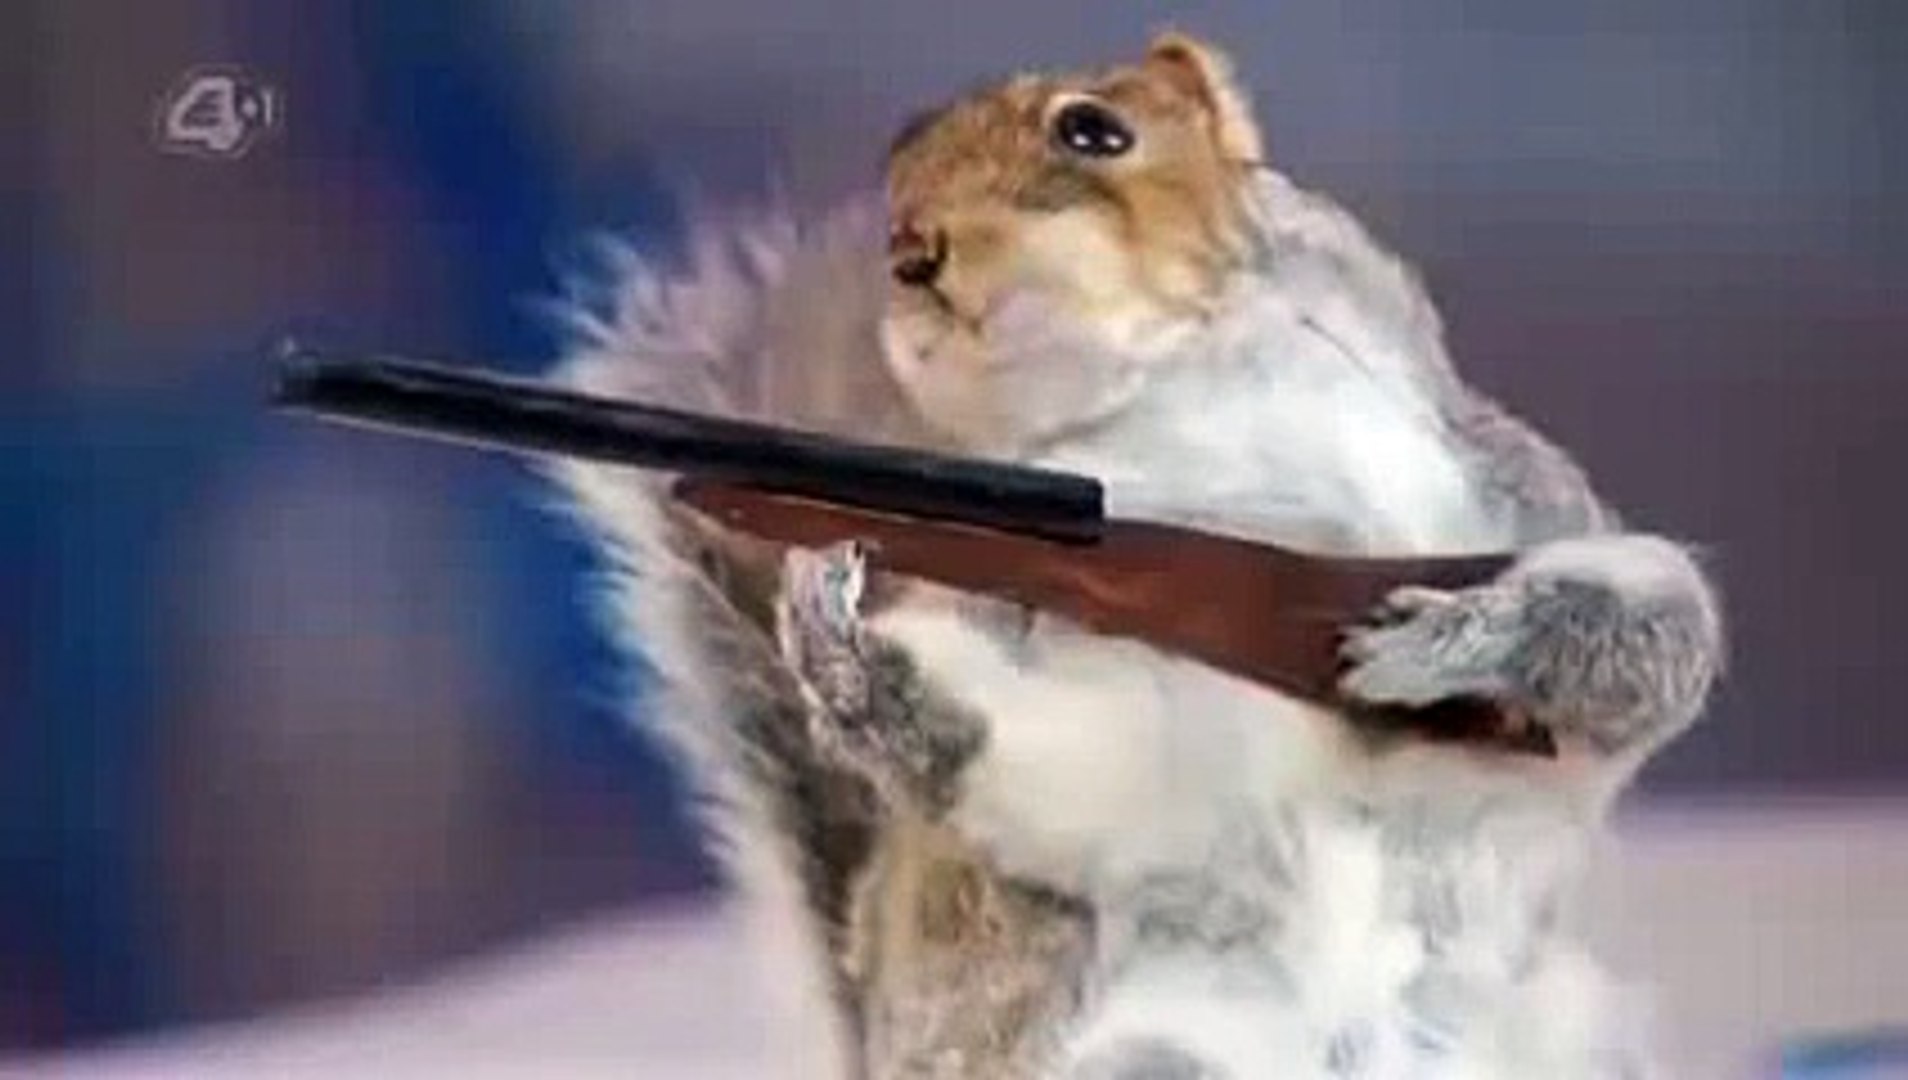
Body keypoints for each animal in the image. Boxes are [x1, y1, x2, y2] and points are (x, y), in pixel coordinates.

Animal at [550, 30, 1723, 1080]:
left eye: (1095, 130)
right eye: (893, 181)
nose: (910, 255)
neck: (1200, 398)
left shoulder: (1512, 492)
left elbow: (1652, 636)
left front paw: (1449, 642)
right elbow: (1027, 757)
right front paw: (843, 650)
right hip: (1150, 1057)